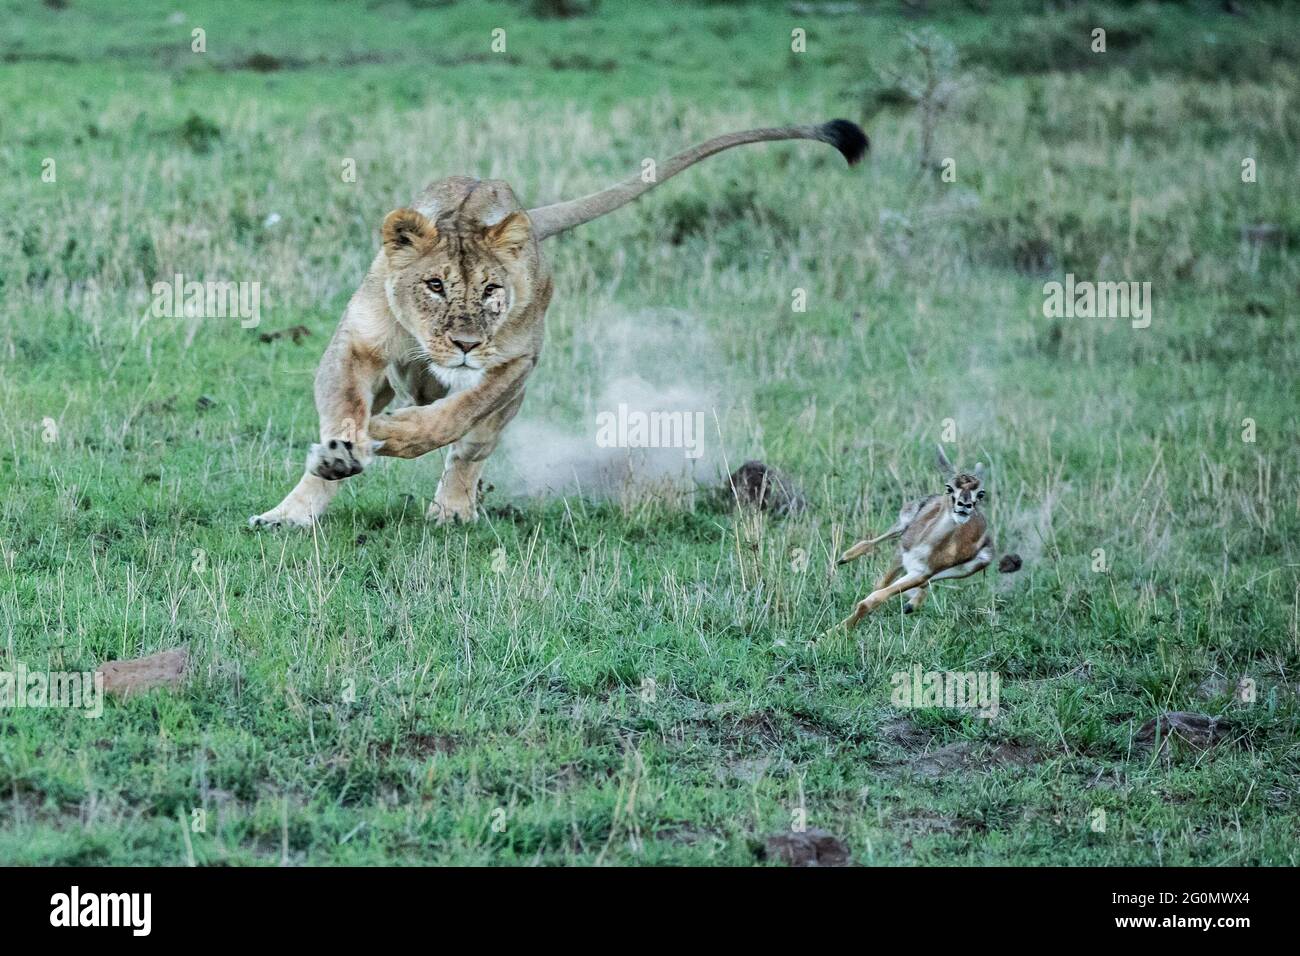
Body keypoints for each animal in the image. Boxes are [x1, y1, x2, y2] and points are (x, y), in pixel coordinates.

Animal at [250, 120, 868, 528]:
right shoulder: (358, 344)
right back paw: (290, 513)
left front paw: (395, 435)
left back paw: (451, 509)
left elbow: (453, 419)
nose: (466, 344)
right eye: (434, 286)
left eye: (491, 291)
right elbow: (343, 407)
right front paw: (340, 452)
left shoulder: (514, 362)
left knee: (468, 451)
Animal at [832, 445, 1020, 631]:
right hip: (904, 522)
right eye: (949, 487)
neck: (926, 547)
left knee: (924, 586)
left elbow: (875, 597)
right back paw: (843, 558)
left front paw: (837, 630)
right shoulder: (901, 553)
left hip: (959, 571)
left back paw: (911, 604)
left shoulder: (922, 573)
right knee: (875, 542)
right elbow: (880, 585)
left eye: (980, 493)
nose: (965, 505)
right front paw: (833, 631)